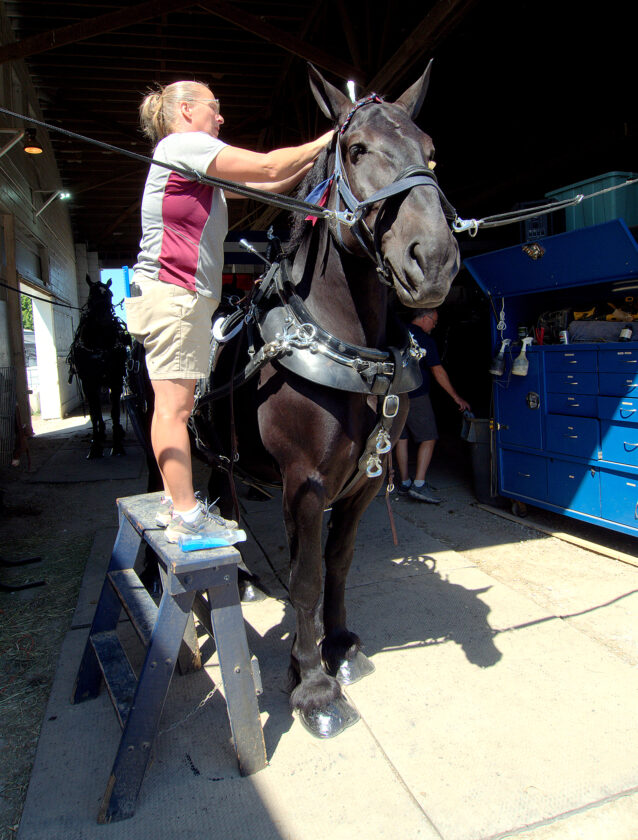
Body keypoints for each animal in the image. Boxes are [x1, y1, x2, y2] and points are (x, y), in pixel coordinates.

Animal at [68, 276, 130, 459]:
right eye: (92, 296)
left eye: (110, 295)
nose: (106, 324)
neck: (99, 343)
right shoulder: (88, 382)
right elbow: (94, 413)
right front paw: (95, 447)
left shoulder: (115, 379)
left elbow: (115, 412)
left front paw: (117, 446)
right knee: (96, 410)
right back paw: (101, 432)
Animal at [194, 62, 461, 738]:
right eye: (358, 149)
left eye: (432, 154)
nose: (434, 260)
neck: (348, 349)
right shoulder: (305, 481)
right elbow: (307, 576)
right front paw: (312, 687)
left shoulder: (364, 480)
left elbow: (337, 564)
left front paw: (338, 649)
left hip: (223, 453)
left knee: (223, 494)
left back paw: (241, 579)